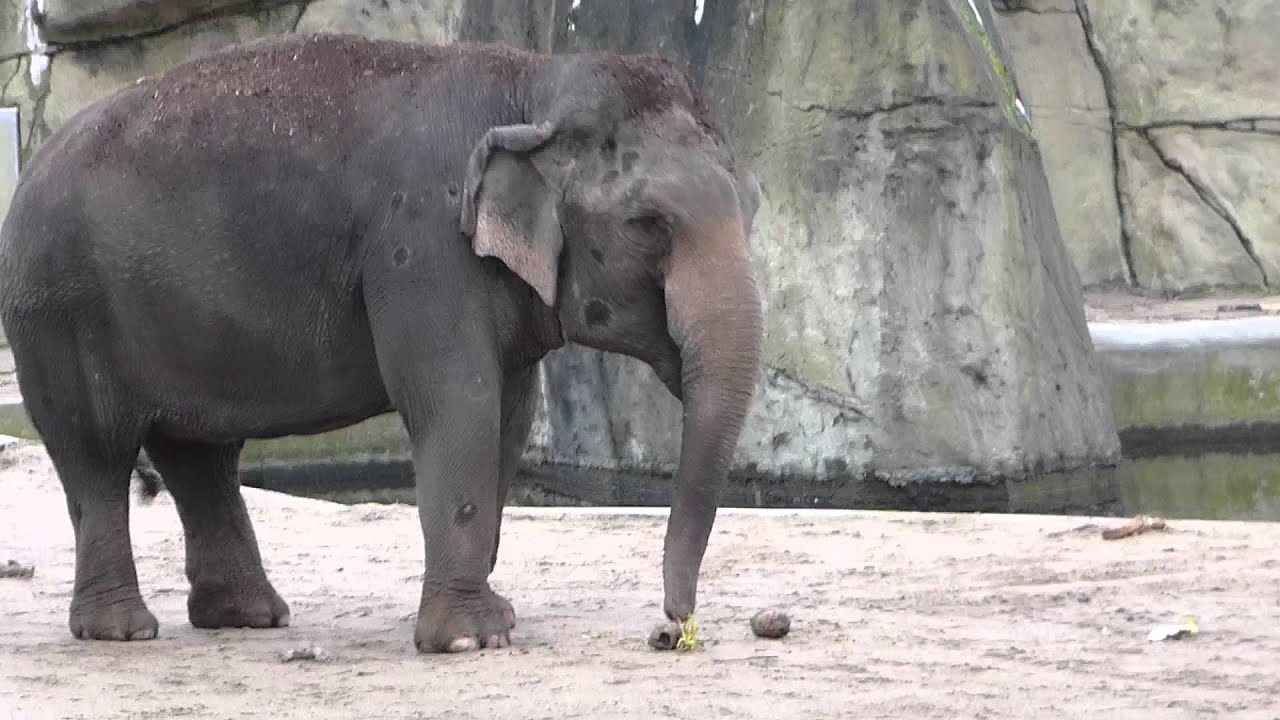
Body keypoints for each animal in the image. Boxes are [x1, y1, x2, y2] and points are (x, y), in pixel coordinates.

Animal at [0, 33, 764, 653]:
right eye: (649, 224)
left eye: (752, 207)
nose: (673, 625)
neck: (532, 80)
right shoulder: (421, 244)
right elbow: (458, 401)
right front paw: (471, 639)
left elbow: (511, 414)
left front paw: (496, 614)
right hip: (57, 313)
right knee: (98, 456)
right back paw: (122, 630)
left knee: (199, 457)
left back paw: (249, 617)